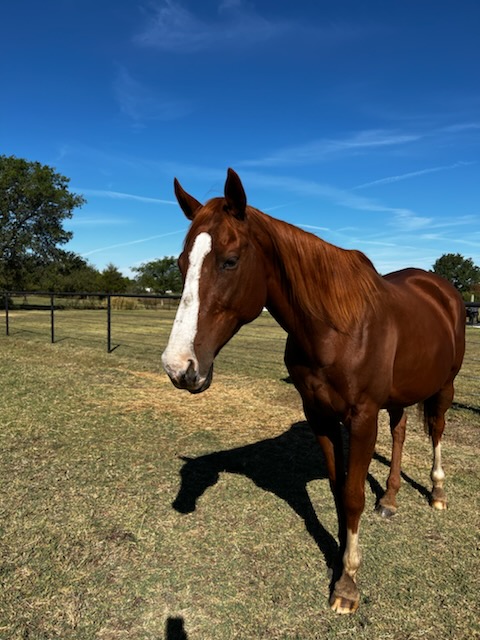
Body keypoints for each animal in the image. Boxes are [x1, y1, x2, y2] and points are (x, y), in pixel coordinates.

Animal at [162, 168, 466, 614]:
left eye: (230, 261)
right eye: (183, 264)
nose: (178, 366)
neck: (336, 328)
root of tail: (441, 289)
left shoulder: (362, 416)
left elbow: (353, 494)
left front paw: (348, 584)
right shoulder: (319, 413)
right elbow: (340, 490)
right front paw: (340, 560)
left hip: (445, 385)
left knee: (437, 431)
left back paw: (438, 492)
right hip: (398, 396)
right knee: (400, 431)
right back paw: (389, 500)